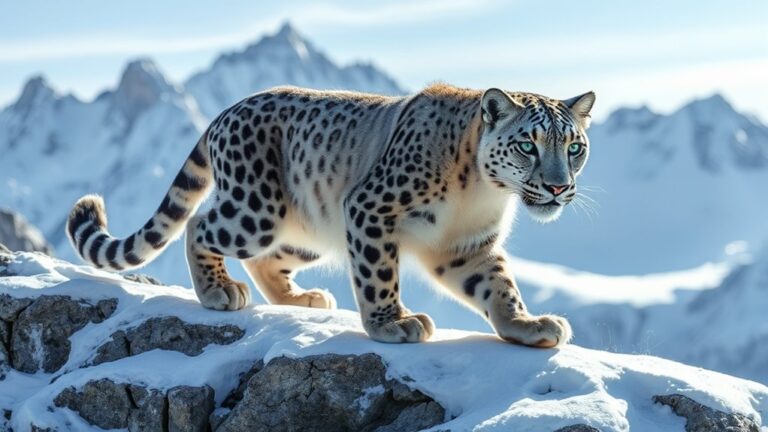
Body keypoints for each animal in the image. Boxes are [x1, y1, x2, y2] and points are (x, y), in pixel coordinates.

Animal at [66, 83, 595, 347]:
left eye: (574, 147)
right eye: (528, 145)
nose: (557, 186)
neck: (483, 193)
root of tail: (224, 111)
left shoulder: (468, 247)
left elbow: (499, 287)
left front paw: (527, 325)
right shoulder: (372, 209)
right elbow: (379, 274)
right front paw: (392, 323)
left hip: (307, 231)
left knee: (266, 259)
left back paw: (303, 299)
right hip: (255, 210)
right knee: (200, 225)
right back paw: (219, 291)